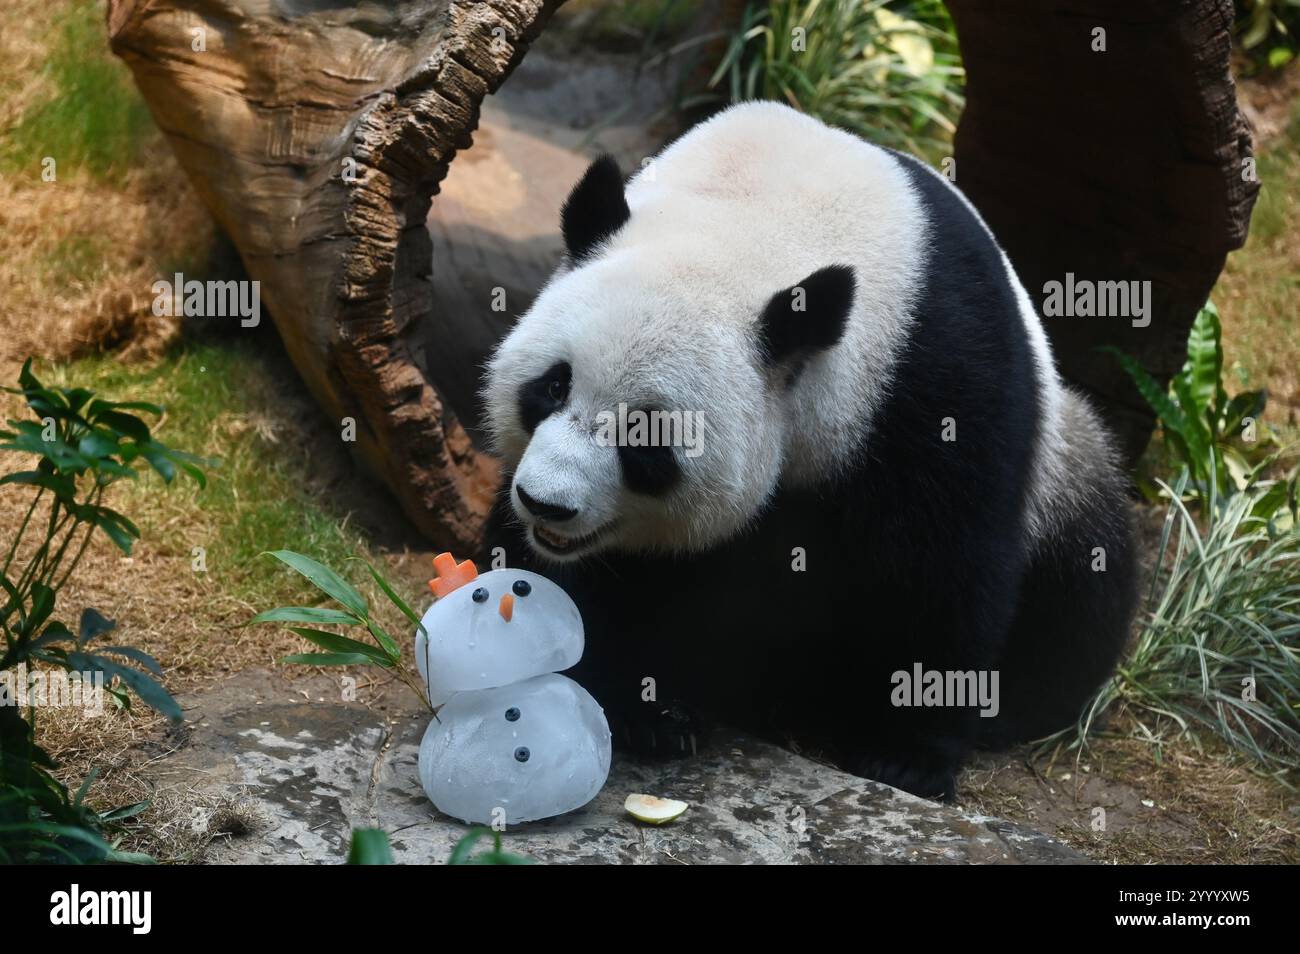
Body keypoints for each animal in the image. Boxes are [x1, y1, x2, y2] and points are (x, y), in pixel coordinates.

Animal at [482, 101, 1137, 800]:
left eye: (645, 439)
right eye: (553, 386)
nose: (547, 505)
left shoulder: (937, 378)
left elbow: (946, 565)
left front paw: (907, 757)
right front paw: (646, 710)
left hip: (1064, 463)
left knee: (1083, 580)